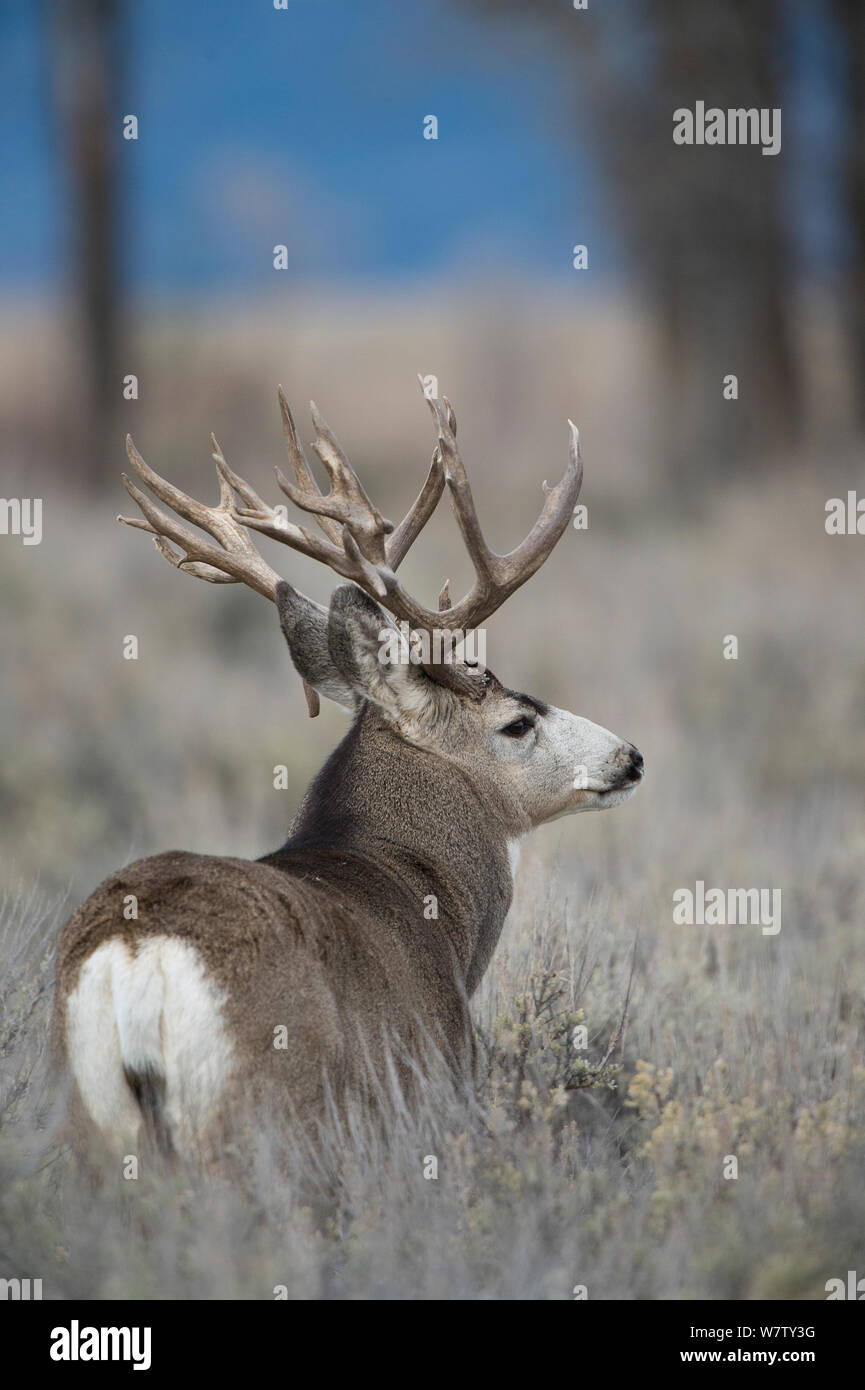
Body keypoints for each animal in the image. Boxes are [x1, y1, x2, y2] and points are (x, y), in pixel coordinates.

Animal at [51, 384, 644, 1167]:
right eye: (518, 722)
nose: (630, 756)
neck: (434, 906)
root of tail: (135, 955)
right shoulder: (433, 1084)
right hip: (267, 1112)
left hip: (91, 1120)